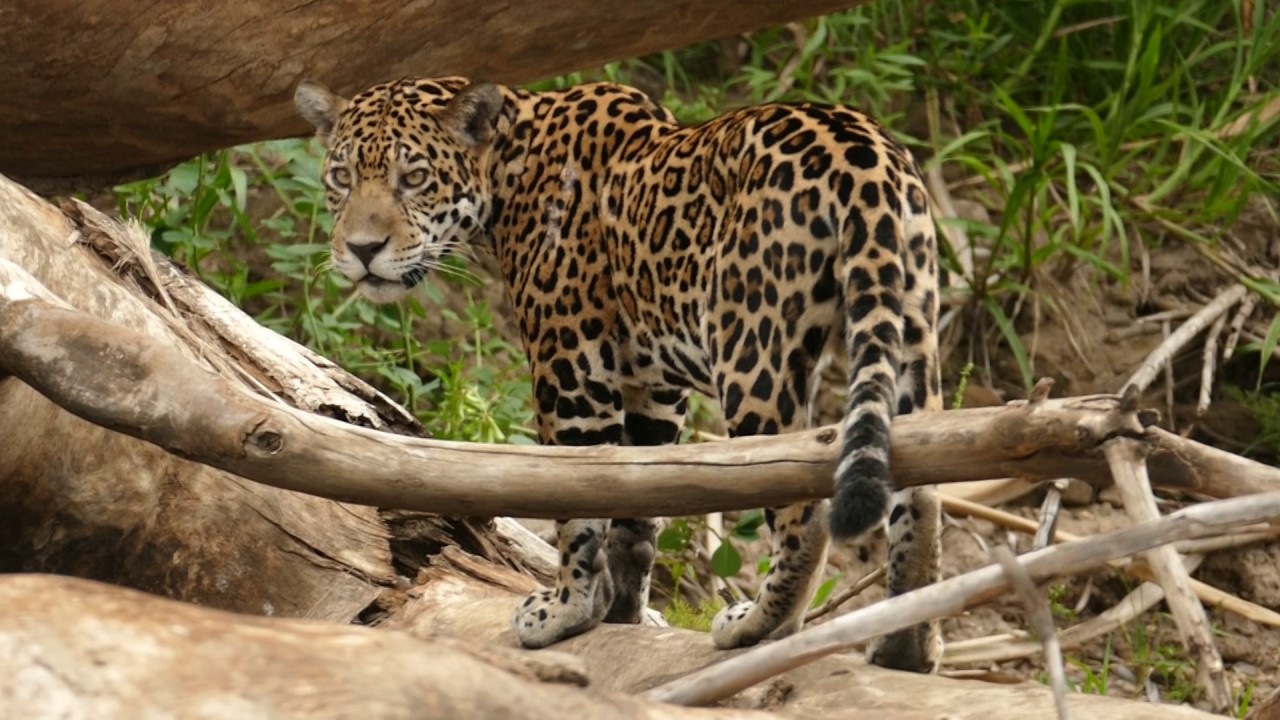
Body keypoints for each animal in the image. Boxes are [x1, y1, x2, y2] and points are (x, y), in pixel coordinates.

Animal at [295, 75, 943, 672]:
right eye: (342, 177)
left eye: (415, 178)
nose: (363, 249)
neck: (509, 169)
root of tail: (868, 157)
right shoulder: (652, 386)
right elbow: (635, 505)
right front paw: (624, 613)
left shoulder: (570, 371)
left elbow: (579, 506)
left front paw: (568, 609)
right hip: (910, 330)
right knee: (922, 488)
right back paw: (906, 646)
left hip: (752, 348)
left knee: (802, 509)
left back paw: (760, 625)